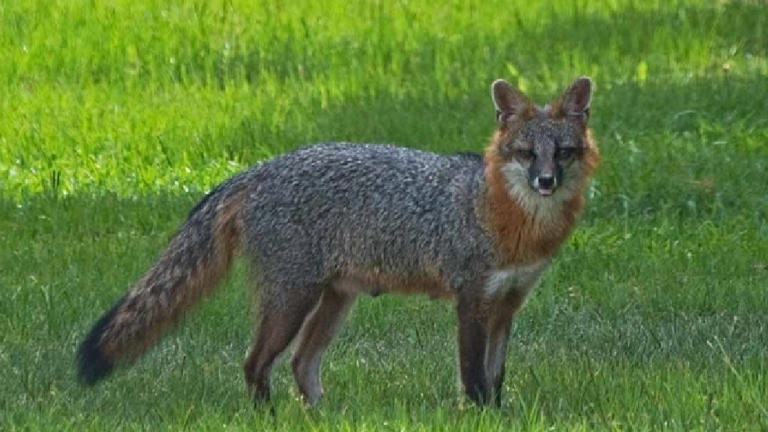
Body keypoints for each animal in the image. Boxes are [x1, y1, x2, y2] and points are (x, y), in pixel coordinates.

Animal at [77, 77, 599, 406]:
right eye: (527, 154)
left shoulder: (507, 305)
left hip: (333, 304)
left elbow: (496, 378)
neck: (510, 219)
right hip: (291, 302)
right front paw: (479, 416)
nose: (546, 182)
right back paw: (268, 418)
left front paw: (498, 415)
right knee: (255, 365)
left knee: (300, 366)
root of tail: (260, 168)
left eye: (563, 153)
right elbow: (473, 378)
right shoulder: (471, 301)